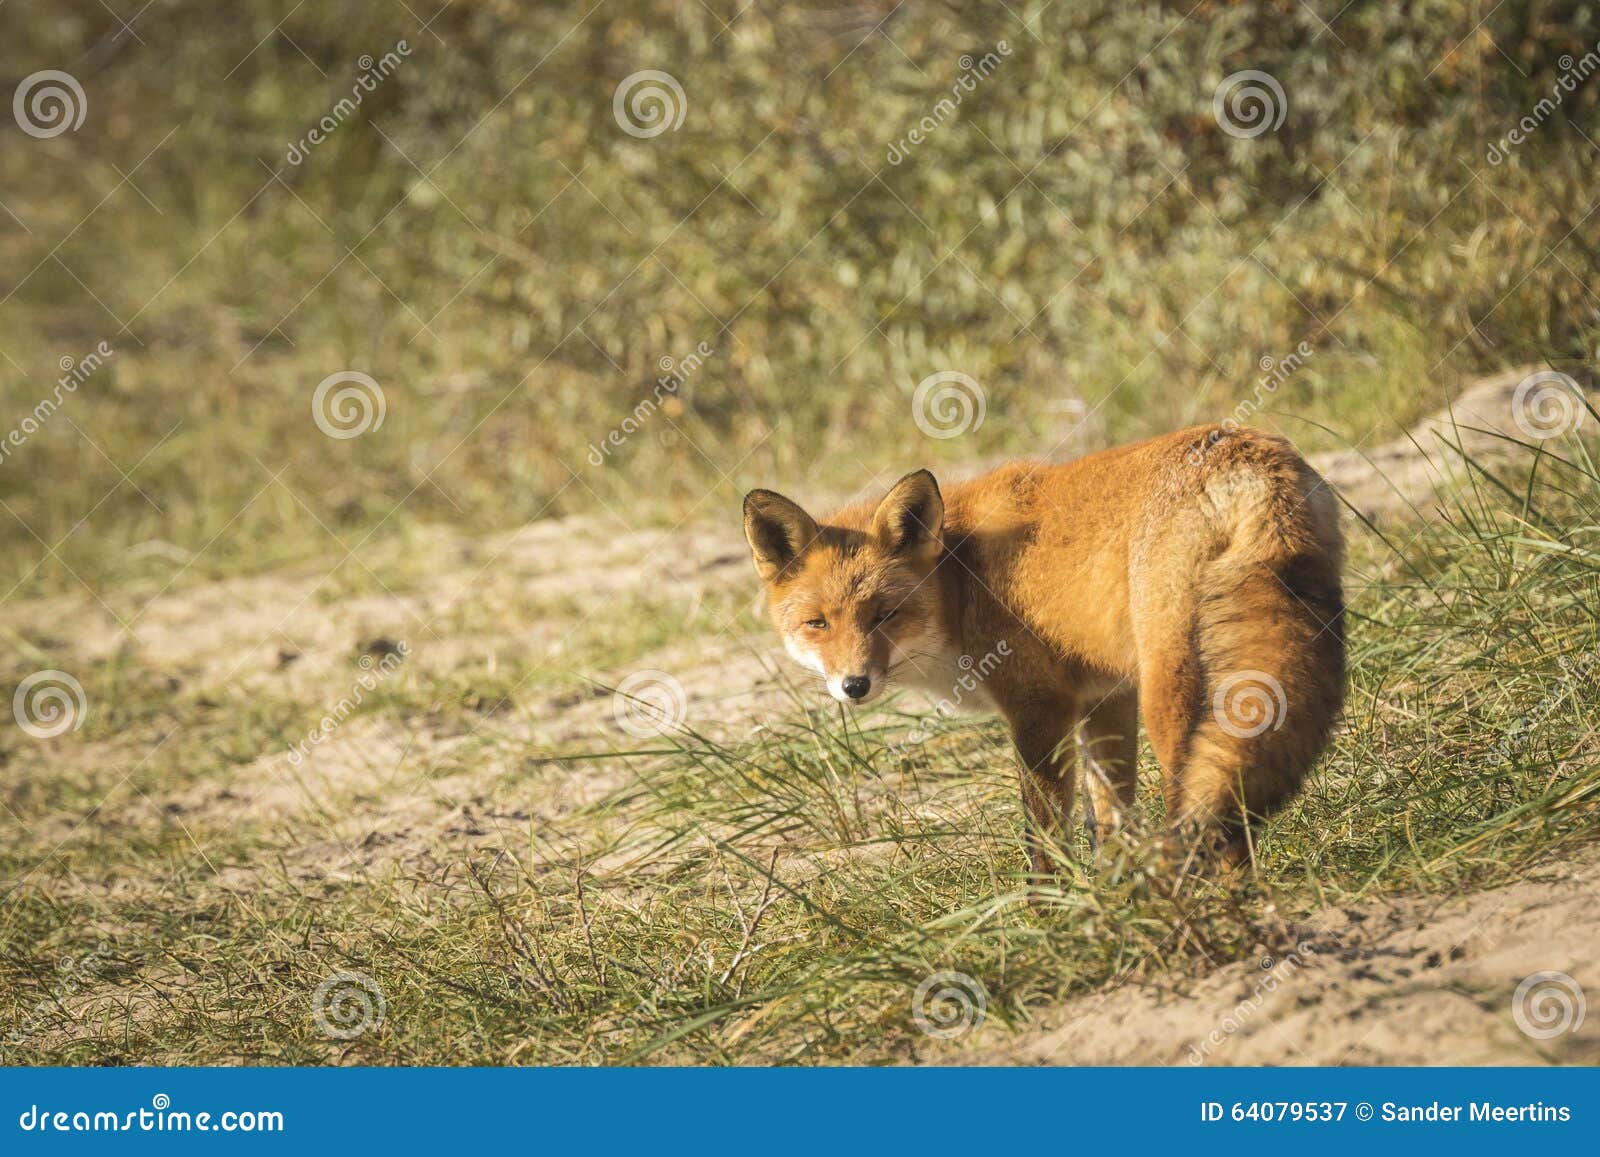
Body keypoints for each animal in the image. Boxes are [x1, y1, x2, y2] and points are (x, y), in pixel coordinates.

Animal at [742, 424, 1345, 877]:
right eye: (818, 624)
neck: (960, 578)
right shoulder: (1106, 697)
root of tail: (1246, 450)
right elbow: (1111, 820)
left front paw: (1050, 913)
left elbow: (1044, 838)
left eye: (884, 615)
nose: (854, 685)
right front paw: (1118, 897)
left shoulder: (1040, 705)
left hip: (1173, 698)